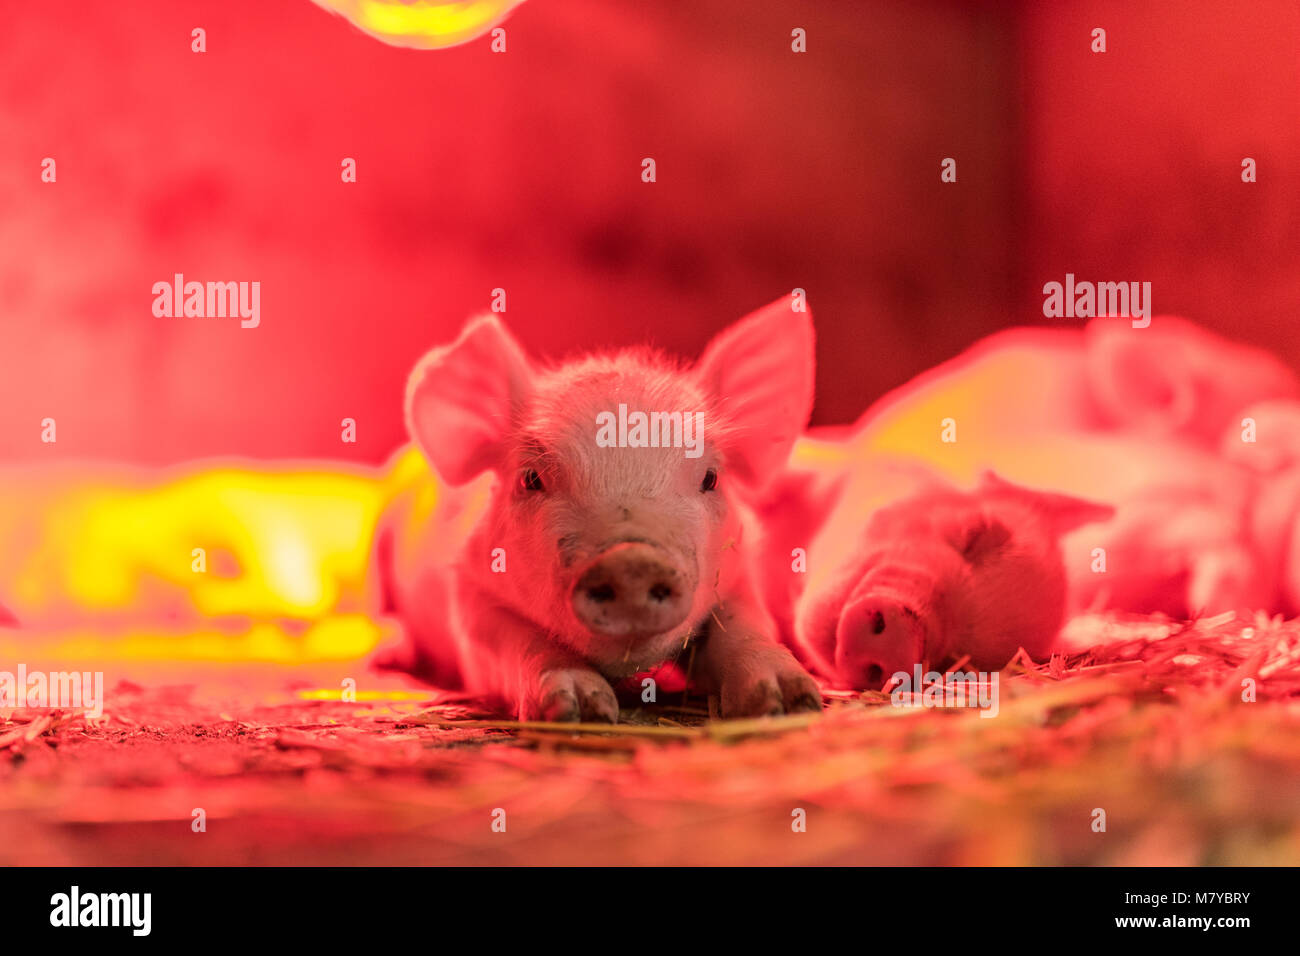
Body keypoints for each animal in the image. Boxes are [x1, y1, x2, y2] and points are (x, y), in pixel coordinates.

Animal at [371, 298, 823, 721]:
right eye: (531, 478)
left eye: (710, 478)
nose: (632, 561)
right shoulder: (469, 594)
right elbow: (516, 642)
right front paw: (583, 709)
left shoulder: (741, 572)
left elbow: (745, 624)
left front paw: (791, 702)